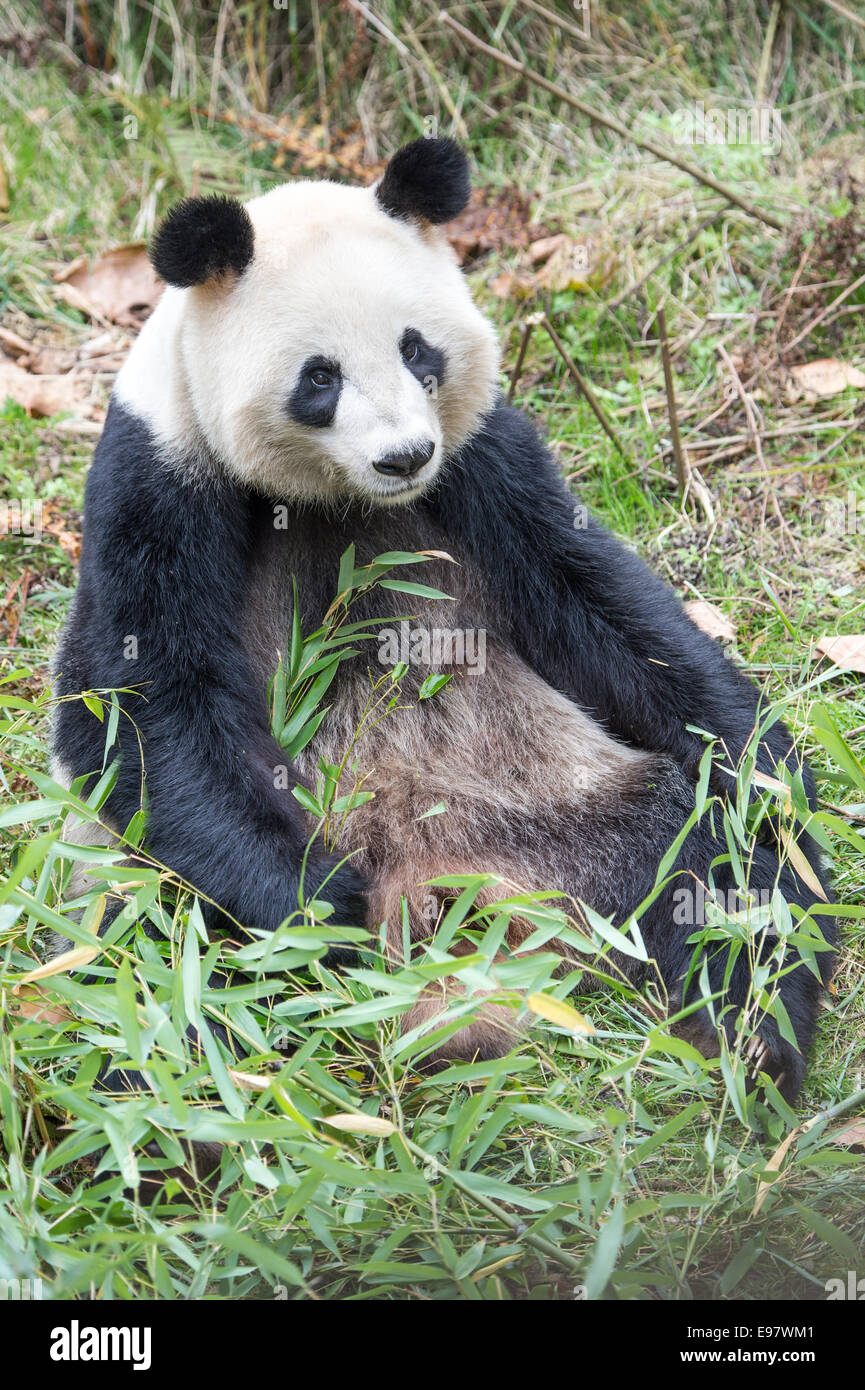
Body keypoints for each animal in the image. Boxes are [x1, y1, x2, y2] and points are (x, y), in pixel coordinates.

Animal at [53, 136, 833, 1101]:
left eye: (417, 349)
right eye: (319, 376)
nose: (403, 455)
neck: (336, 497)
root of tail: (452, 896)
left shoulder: (482, 460)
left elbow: (600, 609)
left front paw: (765, 770)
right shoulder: (159, 474)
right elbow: (141, 705)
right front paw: (319, 905)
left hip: (557, 807)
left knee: (709, 874)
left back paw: (757, 1031)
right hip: (137, 896)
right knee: (153, 975)